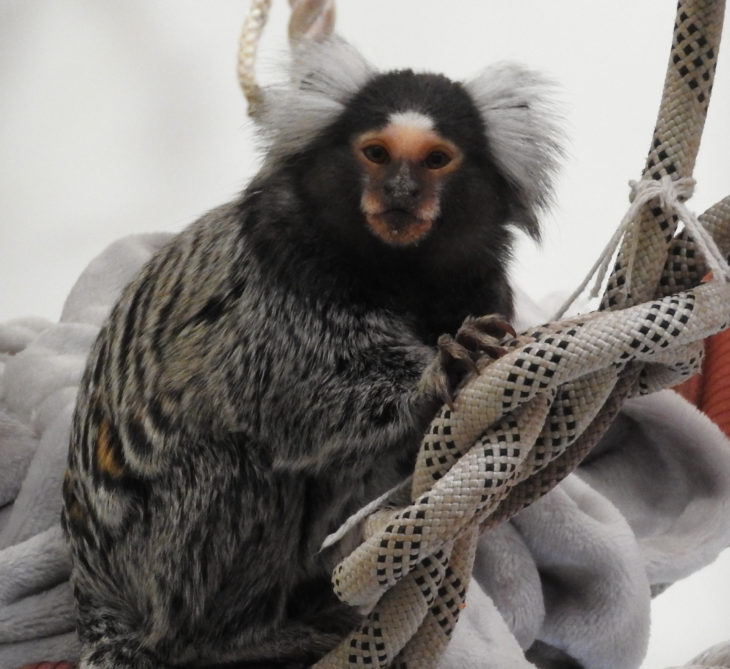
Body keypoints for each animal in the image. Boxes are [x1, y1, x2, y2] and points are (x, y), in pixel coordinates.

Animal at [61, 38, 562, 668]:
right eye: (376, 153)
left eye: (436, 160)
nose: (400, 194)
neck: (401, 275)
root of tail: (91, 587)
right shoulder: (278, 273)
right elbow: (294, 397)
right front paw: (435, 374)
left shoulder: (482, 287)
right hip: (147, 553)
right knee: (234, 466)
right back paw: (240, 639)